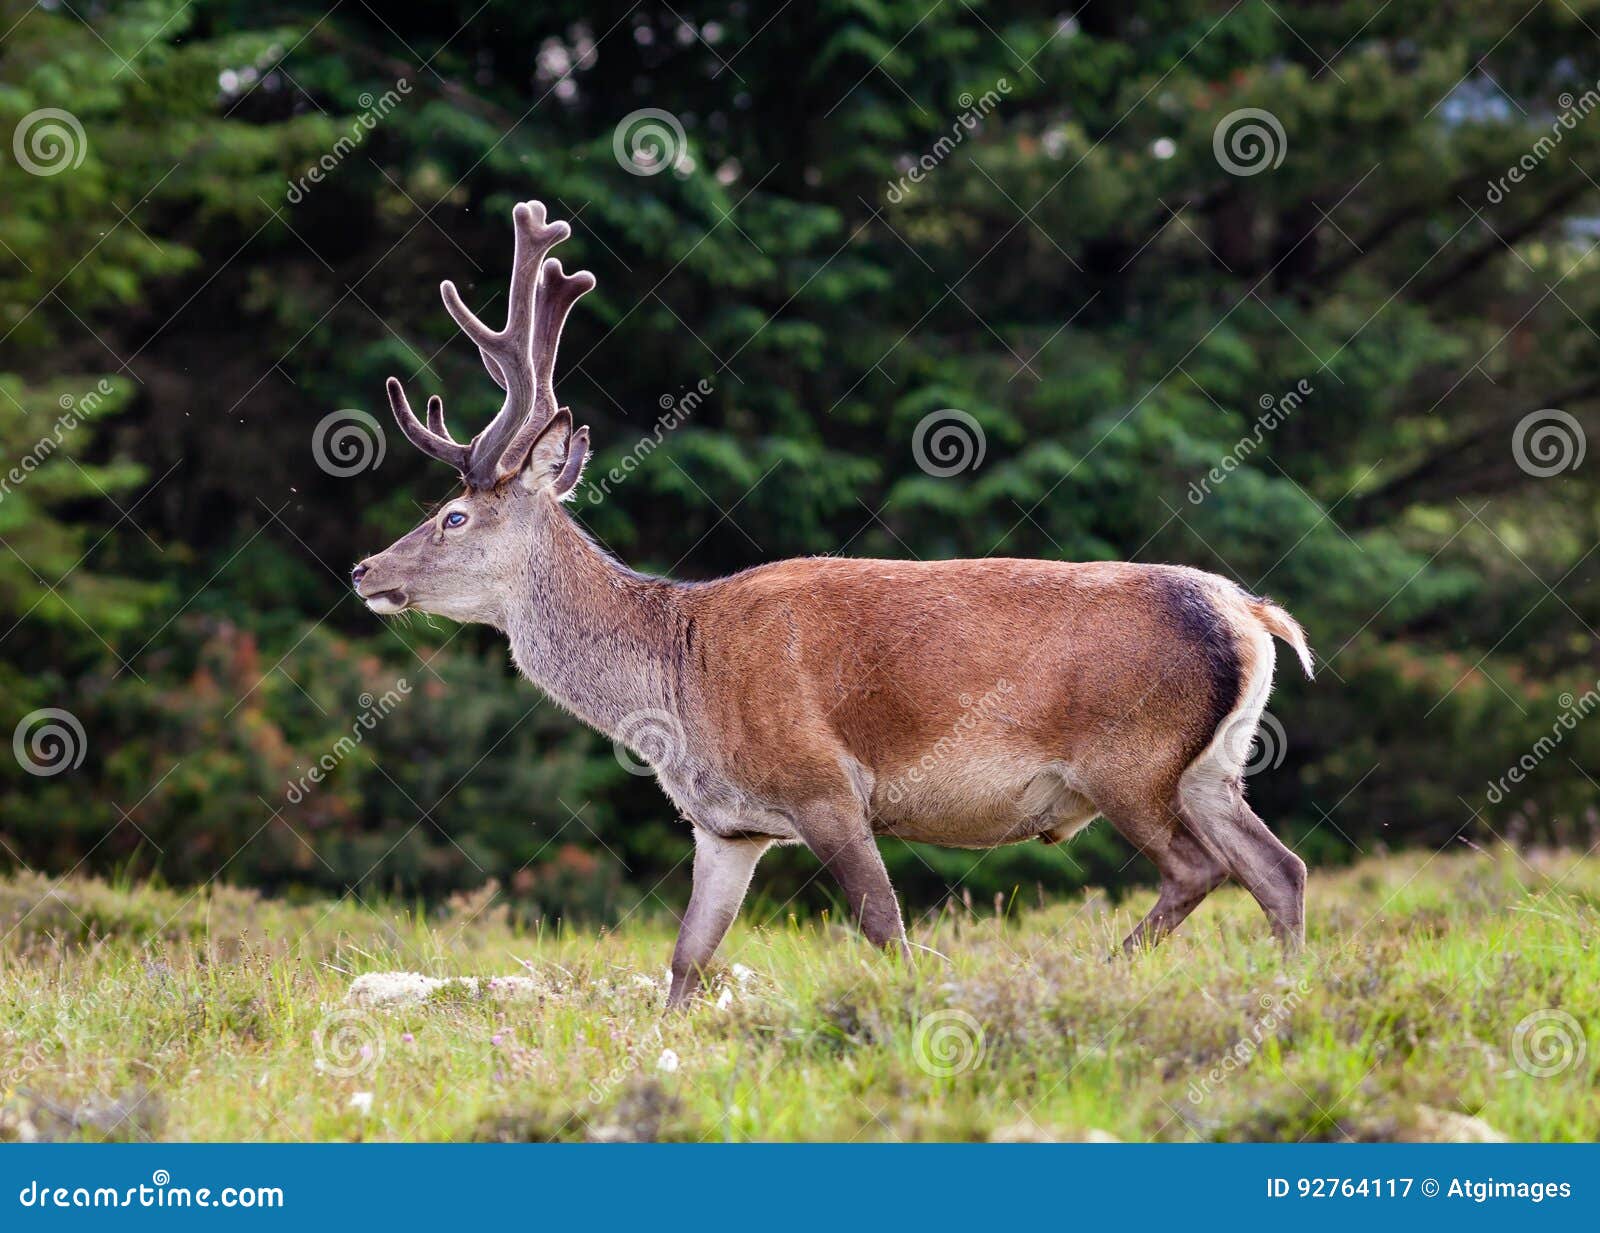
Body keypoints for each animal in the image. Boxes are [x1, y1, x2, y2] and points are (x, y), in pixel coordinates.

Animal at [351, 201, 1316, 1009]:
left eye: (453, 515)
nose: (363, 569)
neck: (674, 686)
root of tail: (1253, 615)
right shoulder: (727, 826)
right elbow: (686, 959)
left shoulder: (824, 785)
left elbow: (885, 928)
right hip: (1212, 766)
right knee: (1282, 868)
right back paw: (1287, 991)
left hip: (1130, 756)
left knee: (1197, 870)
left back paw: (1104, 974)